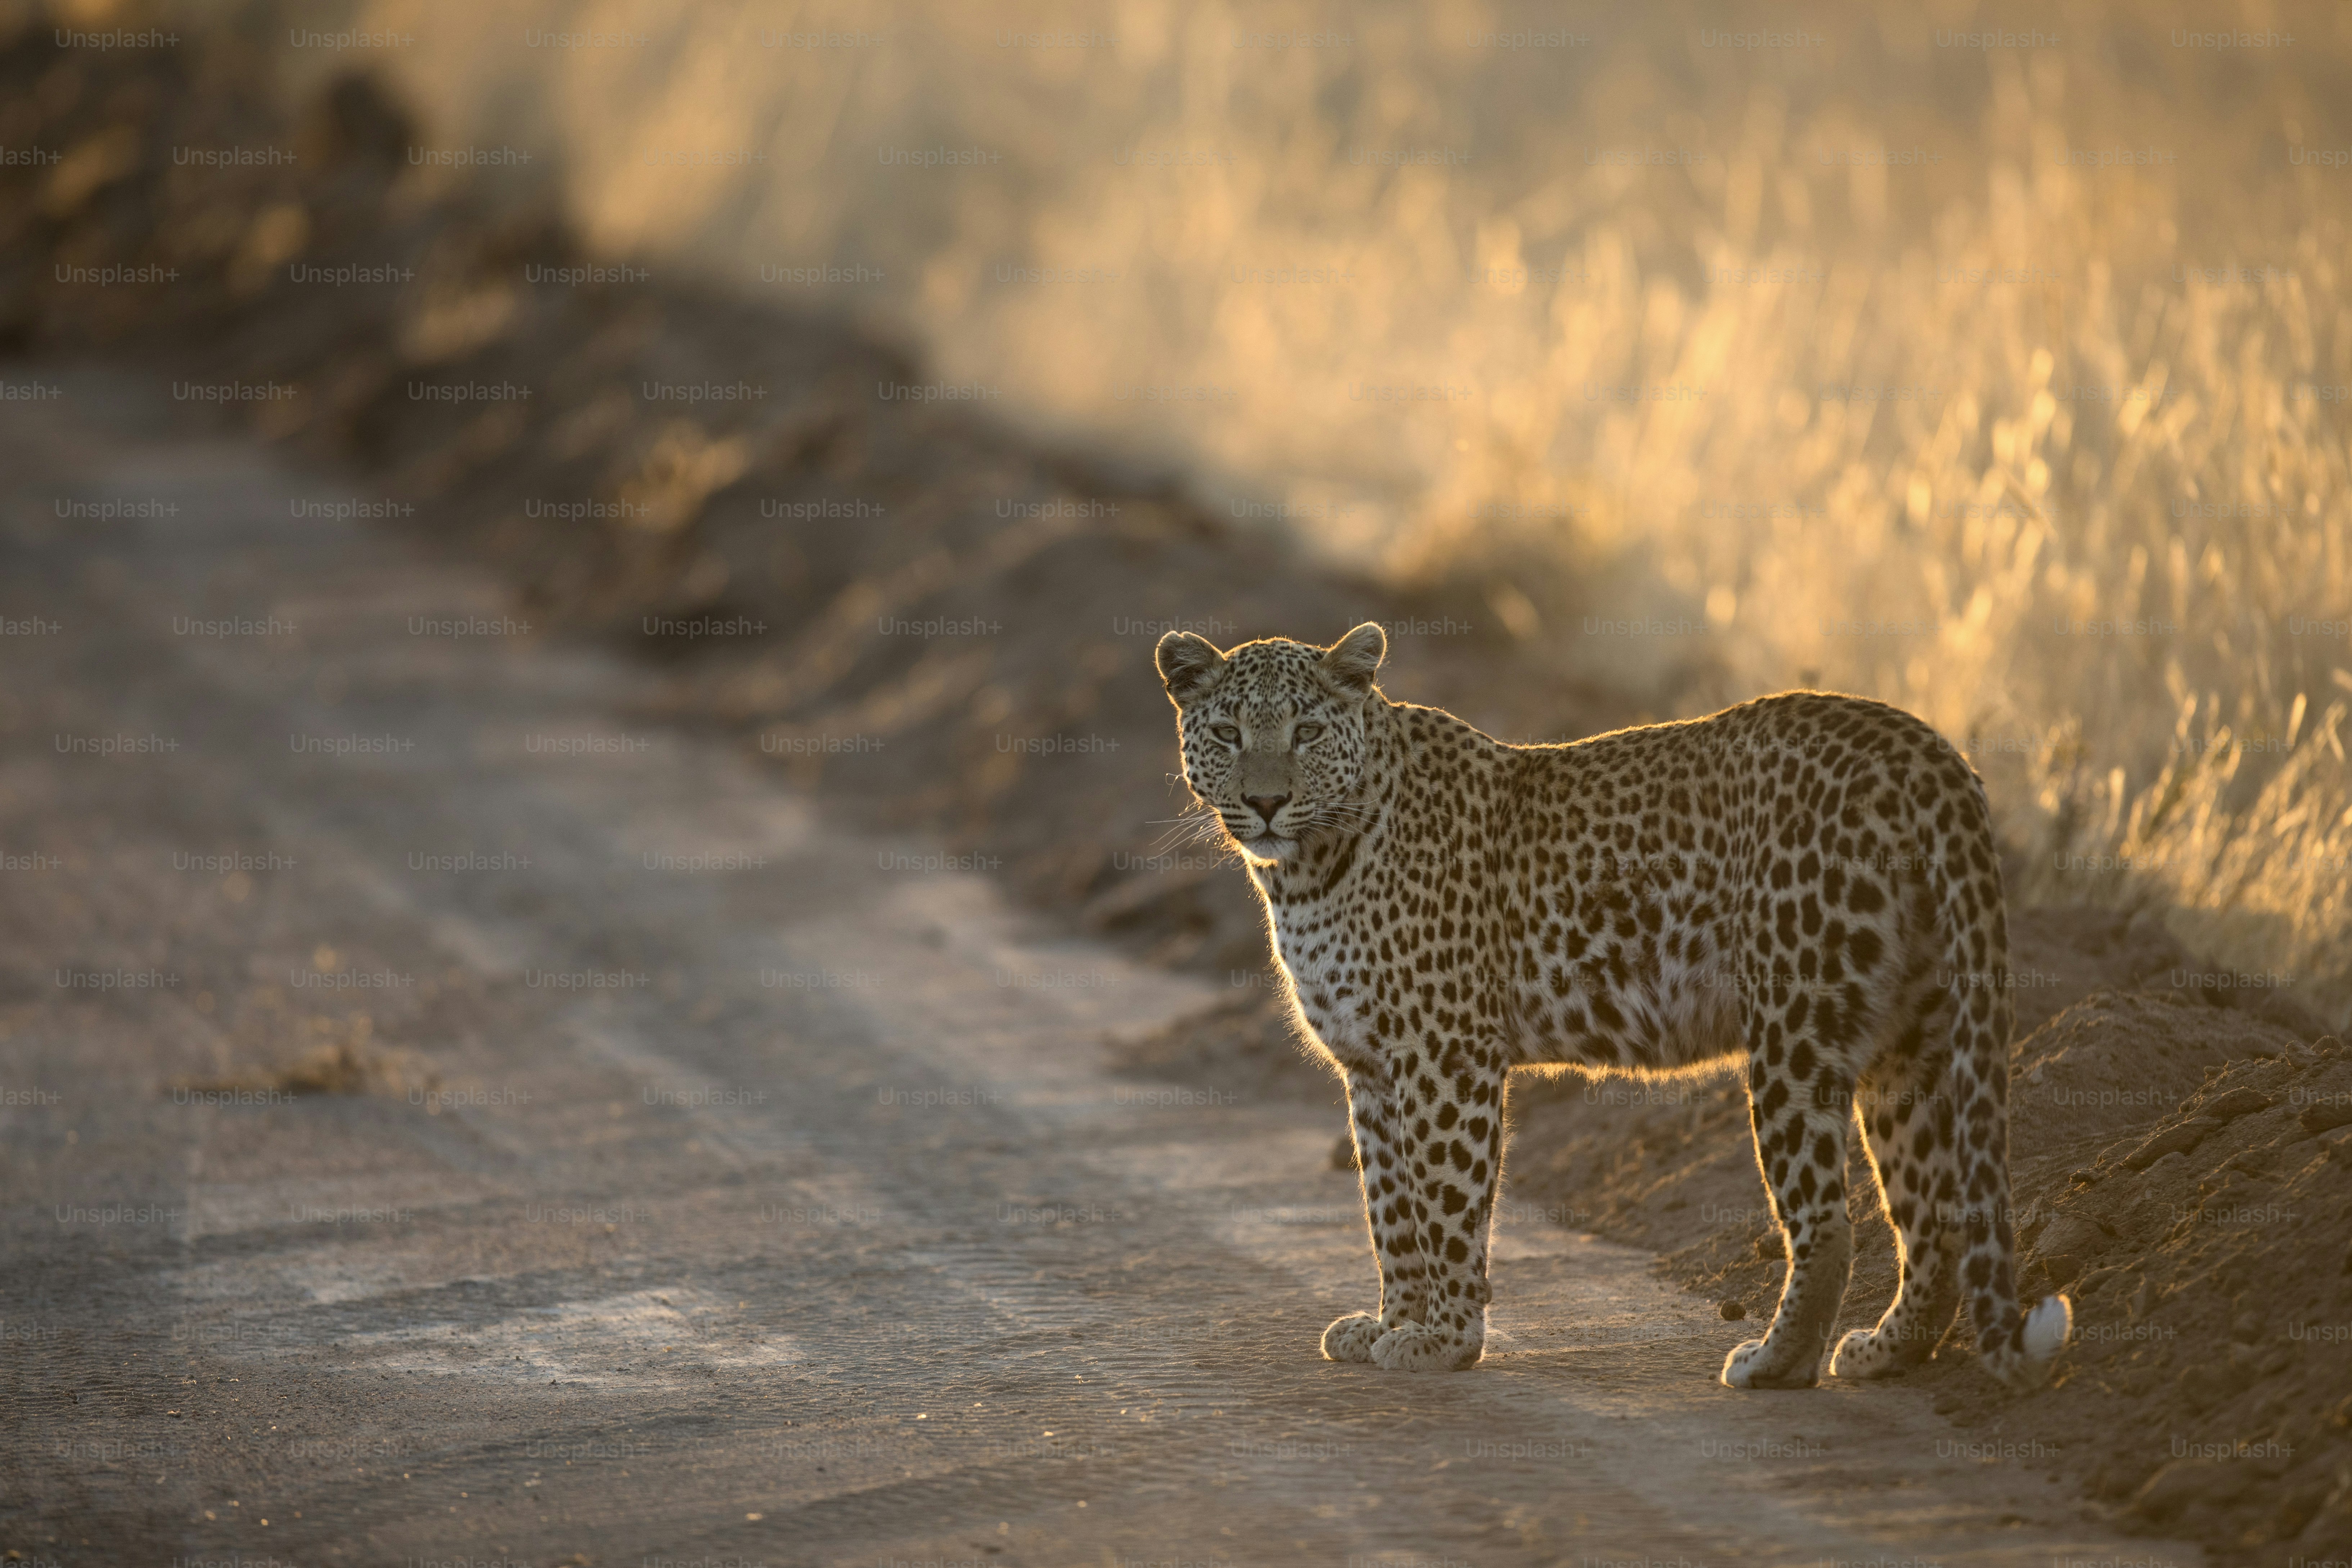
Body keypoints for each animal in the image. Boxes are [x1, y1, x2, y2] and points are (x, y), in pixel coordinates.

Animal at [1154, 622, 2072, 1391]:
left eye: (1306, 733)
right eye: (1227, 733)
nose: (1266, 802)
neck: (1304, 872)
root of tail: (1921, 745)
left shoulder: (1445, 1055)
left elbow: (1444, 1201)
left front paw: (1444, 1340)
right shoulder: (1372, 1069)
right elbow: (1390, 1210)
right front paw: (1391, 1321)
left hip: (1794, 1027)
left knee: (1826, 1220)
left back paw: (1773, 1363)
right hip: (1904, 1036)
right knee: (1935, 1207)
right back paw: (1889, 1350)